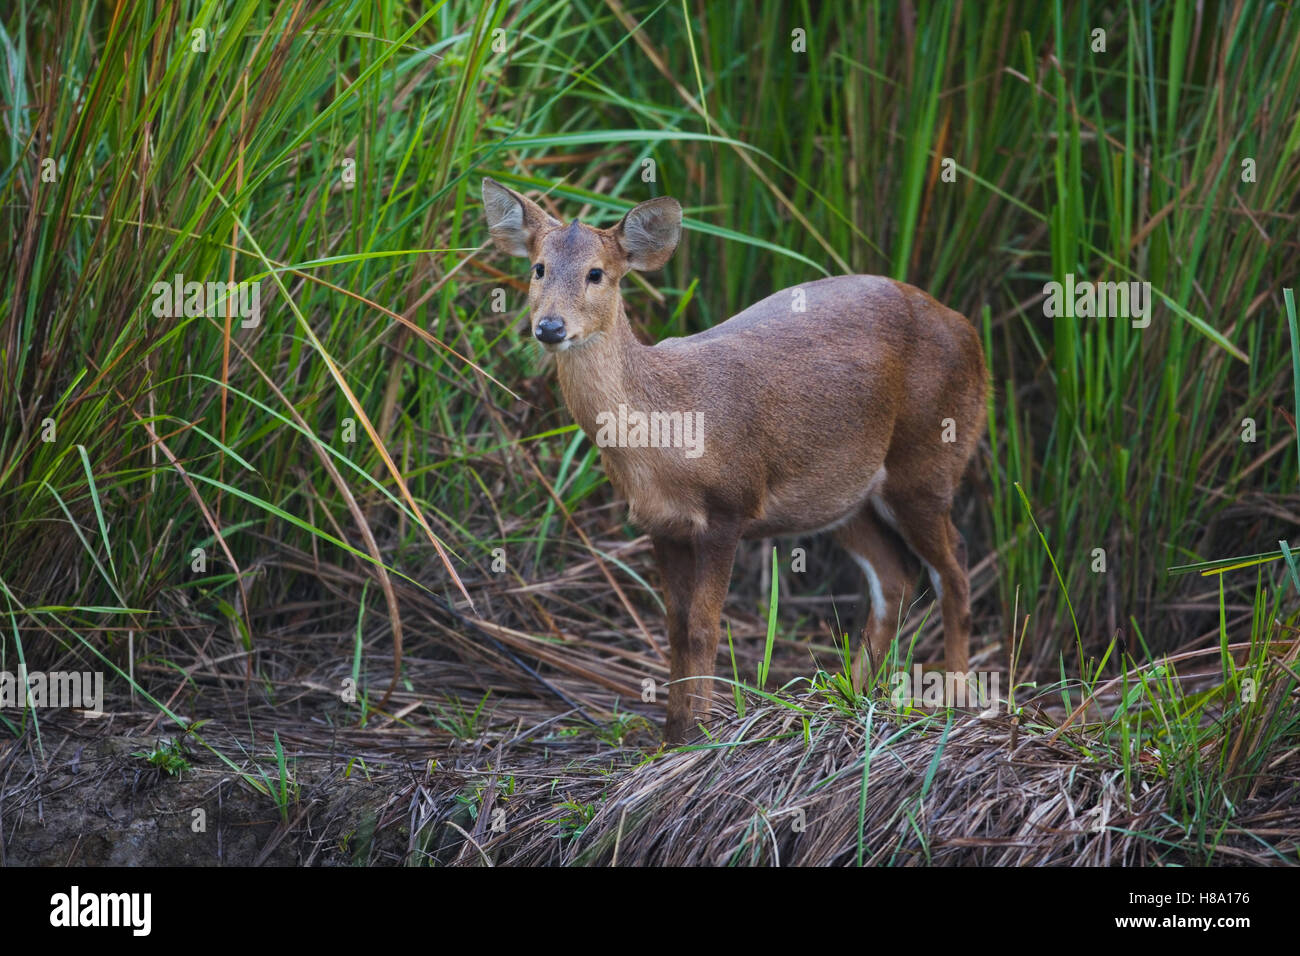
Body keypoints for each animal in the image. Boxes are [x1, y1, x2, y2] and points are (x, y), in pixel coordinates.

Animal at [481, 178, 987, 743]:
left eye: (597, 273)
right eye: (538, 267)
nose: (549, 326)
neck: (666, 432)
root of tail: (970, 331)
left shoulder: (729, 506)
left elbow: (704, 626)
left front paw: (700, 733)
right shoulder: (659, 524)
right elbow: (676, 628)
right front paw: (673, 736)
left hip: (928, 460)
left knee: (954, 566)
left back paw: (957, 702)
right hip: (841, 496)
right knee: (895, 580)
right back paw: (851, 698)